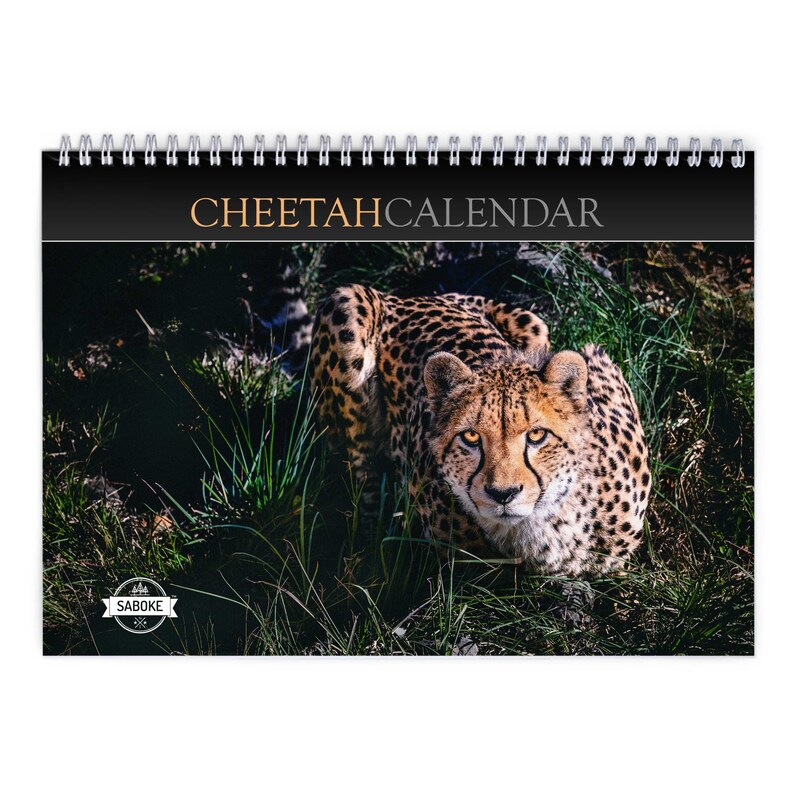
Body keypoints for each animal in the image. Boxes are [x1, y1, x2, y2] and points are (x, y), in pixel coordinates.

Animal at [308, 284, 651, 578]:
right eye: (471, 437)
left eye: (537, 435)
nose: (503, 493)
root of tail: (407, 298)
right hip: (347, 307)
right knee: (359, 471)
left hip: (535, 324)